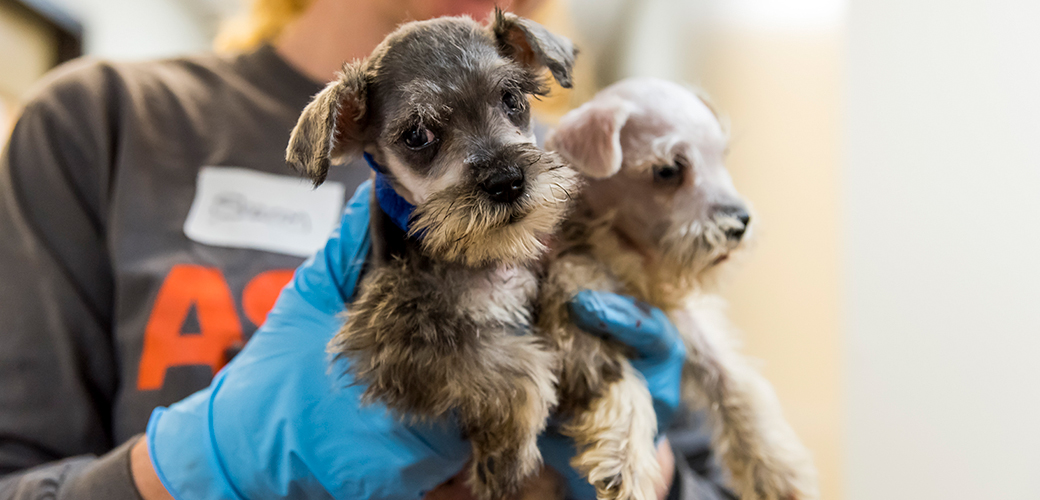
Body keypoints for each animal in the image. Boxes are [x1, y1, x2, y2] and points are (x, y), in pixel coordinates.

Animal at [284, 8, 578, 498]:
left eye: (511, 98)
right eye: (417, 135)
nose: (506, 181)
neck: (476, 259)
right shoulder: (394, 338)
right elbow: (503, 361)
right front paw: (507, 452)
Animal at [540, 77, 815, 498]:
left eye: (722, 156)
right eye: (668, 170)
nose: (740, 222)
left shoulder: (676, 318)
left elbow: (732, 379)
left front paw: (778, 469)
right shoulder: (574, 317)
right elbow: (622, 387)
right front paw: (623, 462)